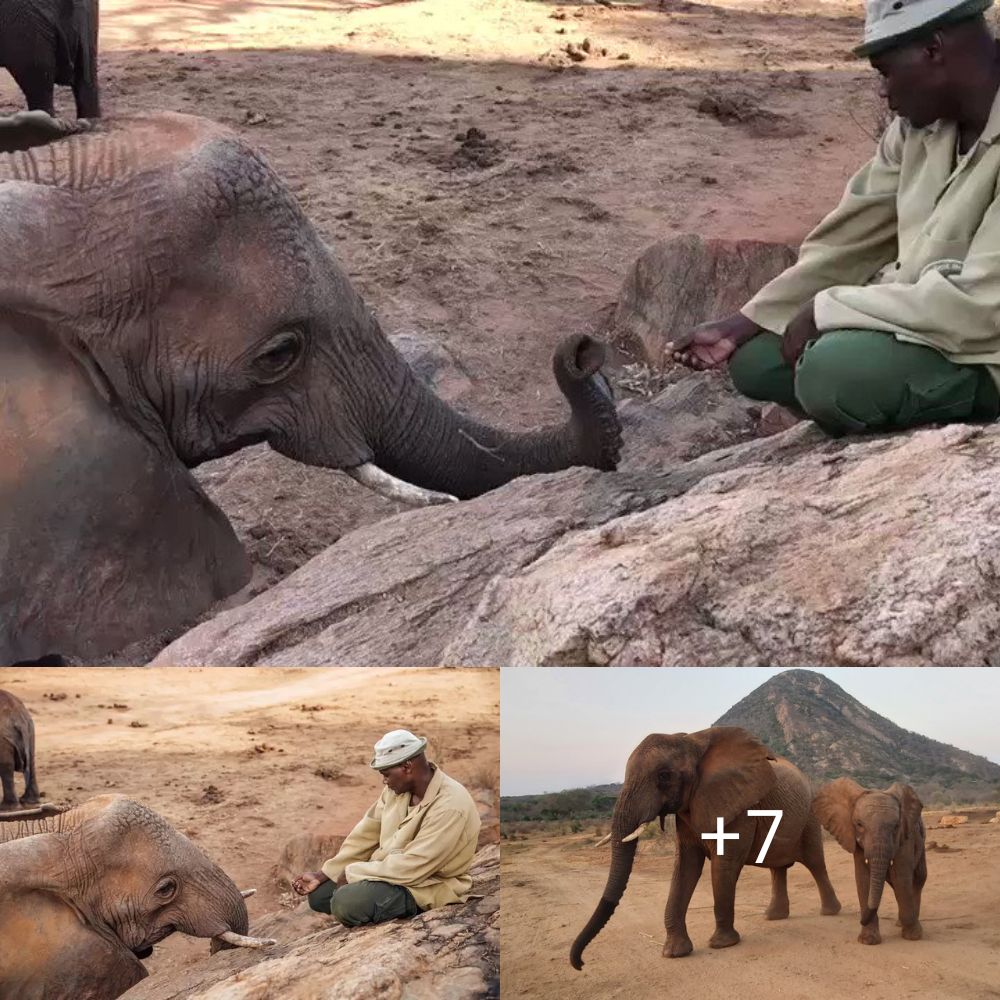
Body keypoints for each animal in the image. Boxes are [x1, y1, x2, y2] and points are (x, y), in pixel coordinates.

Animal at [570, 726, 842, 970]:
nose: (580, 964)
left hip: (809, 816)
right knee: (778, 868)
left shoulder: (738, 805)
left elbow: (724, 863)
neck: (692, 741)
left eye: (664, 775)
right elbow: (685, 866)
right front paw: (674, 953)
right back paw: (773, 917)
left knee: (815, 862)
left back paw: (830, 912)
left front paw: (723, 944)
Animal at [812, 777, 927, 945]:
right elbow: (863, 878)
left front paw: (913, 936)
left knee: (918, 879)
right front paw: (868, 940)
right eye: (859, 824)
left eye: (896, 826)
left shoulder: (905, 837)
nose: (860, 920)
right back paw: (899, 923)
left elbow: (901, 877)